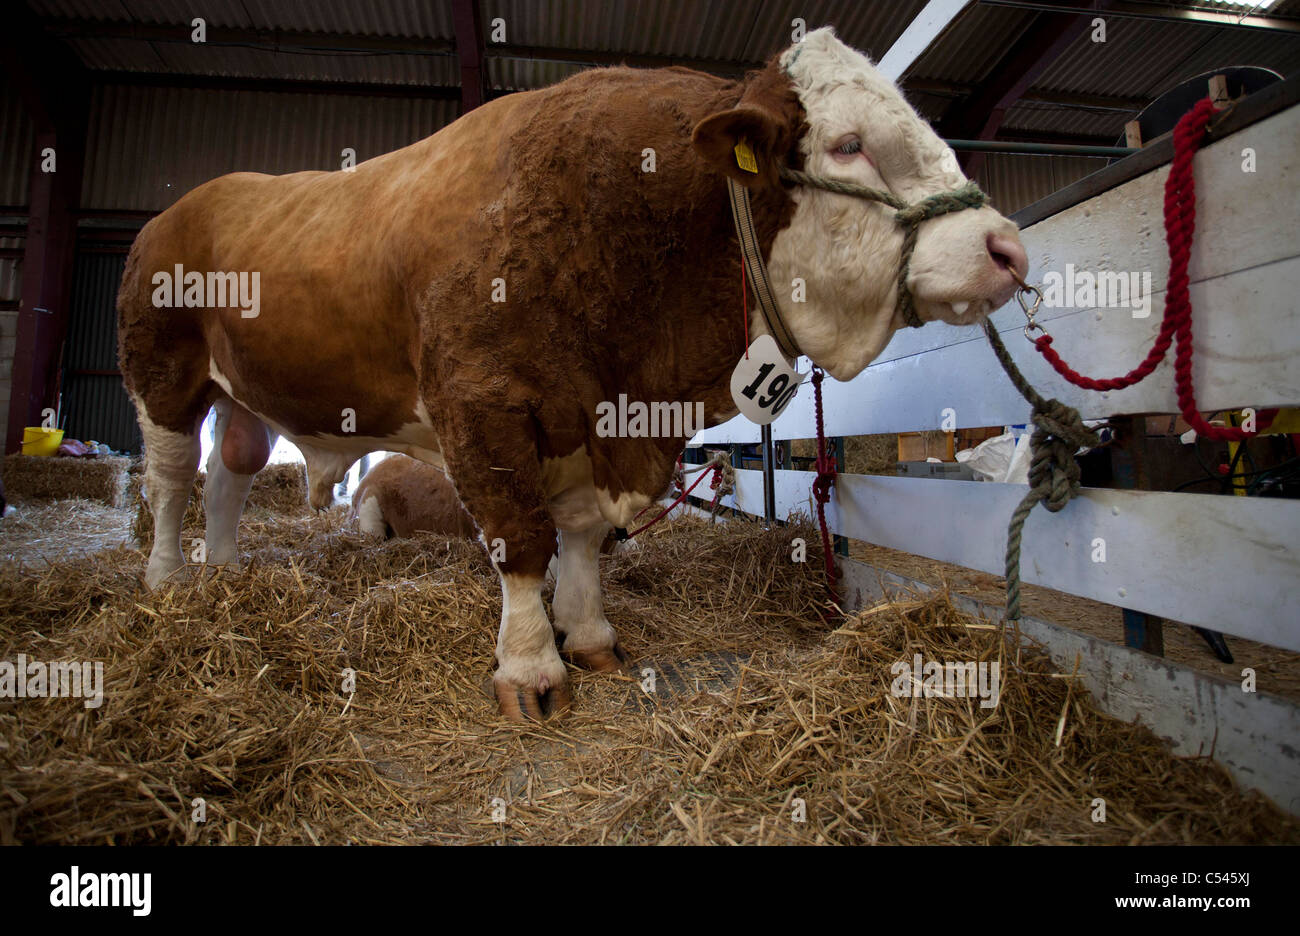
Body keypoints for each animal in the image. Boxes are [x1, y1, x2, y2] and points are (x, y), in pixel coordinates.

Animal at [118, 28, 1027, 721]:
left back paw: (224, 570)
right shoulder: (480, 406)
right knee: (170, 478)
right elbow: (522, 539)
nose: (1007, 249)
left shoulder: (602, 420)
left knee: (230, 471)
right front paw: (529, 667)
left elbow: (584, 536)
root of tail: (180, 208)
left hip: (242, 393)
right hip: (162, 373)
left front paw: (586, 635)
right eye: (848, 143)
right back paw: (167, 582)